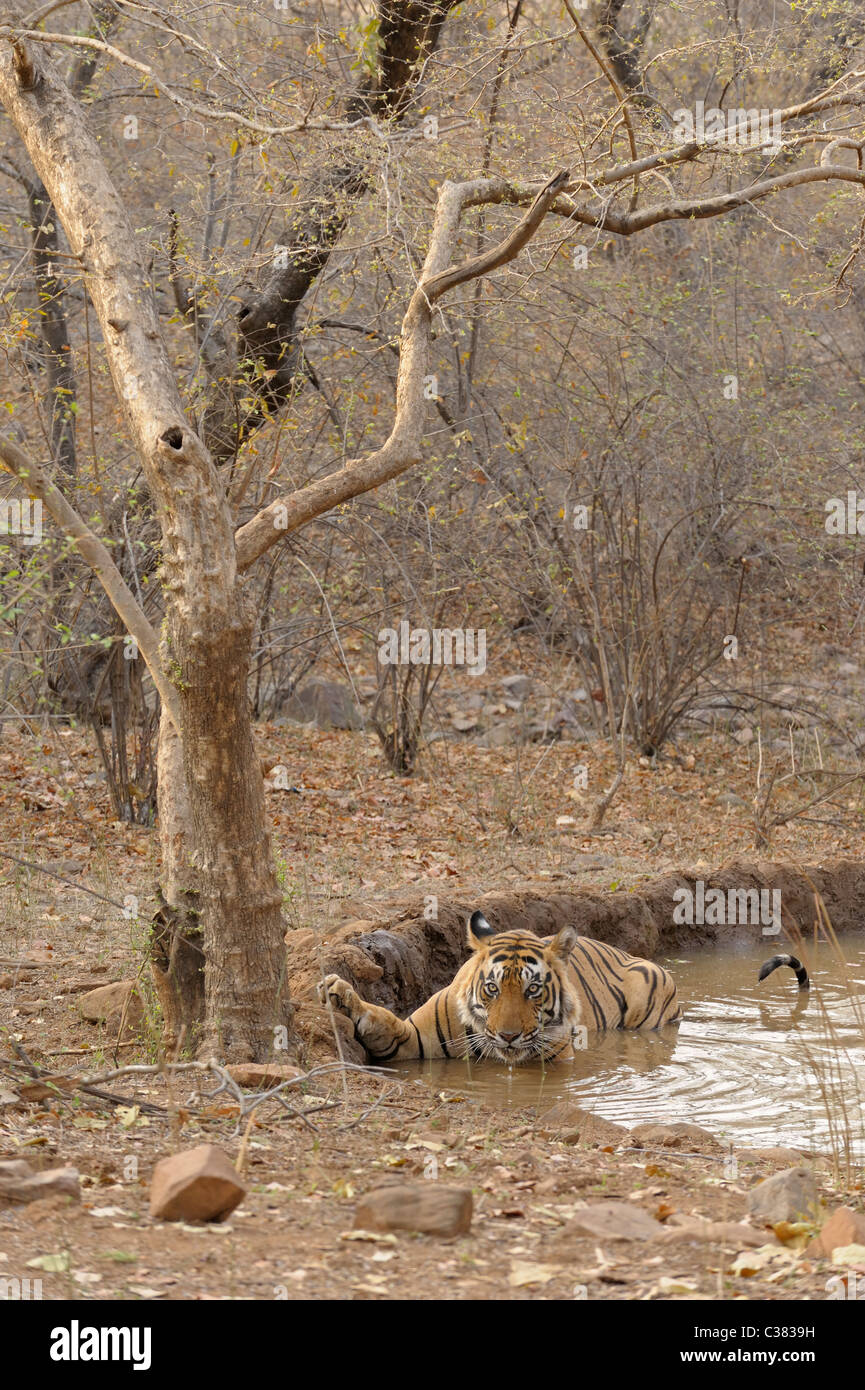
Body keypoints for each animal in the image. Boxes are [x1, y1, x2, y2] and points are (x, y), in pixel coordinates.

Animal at [318, 910, 683, 1064]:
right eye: (492, 989)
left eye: (533, 990)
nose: (508, 1037)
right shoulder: (414, 1039)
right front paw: (340, 994)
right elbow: (383, 1020)